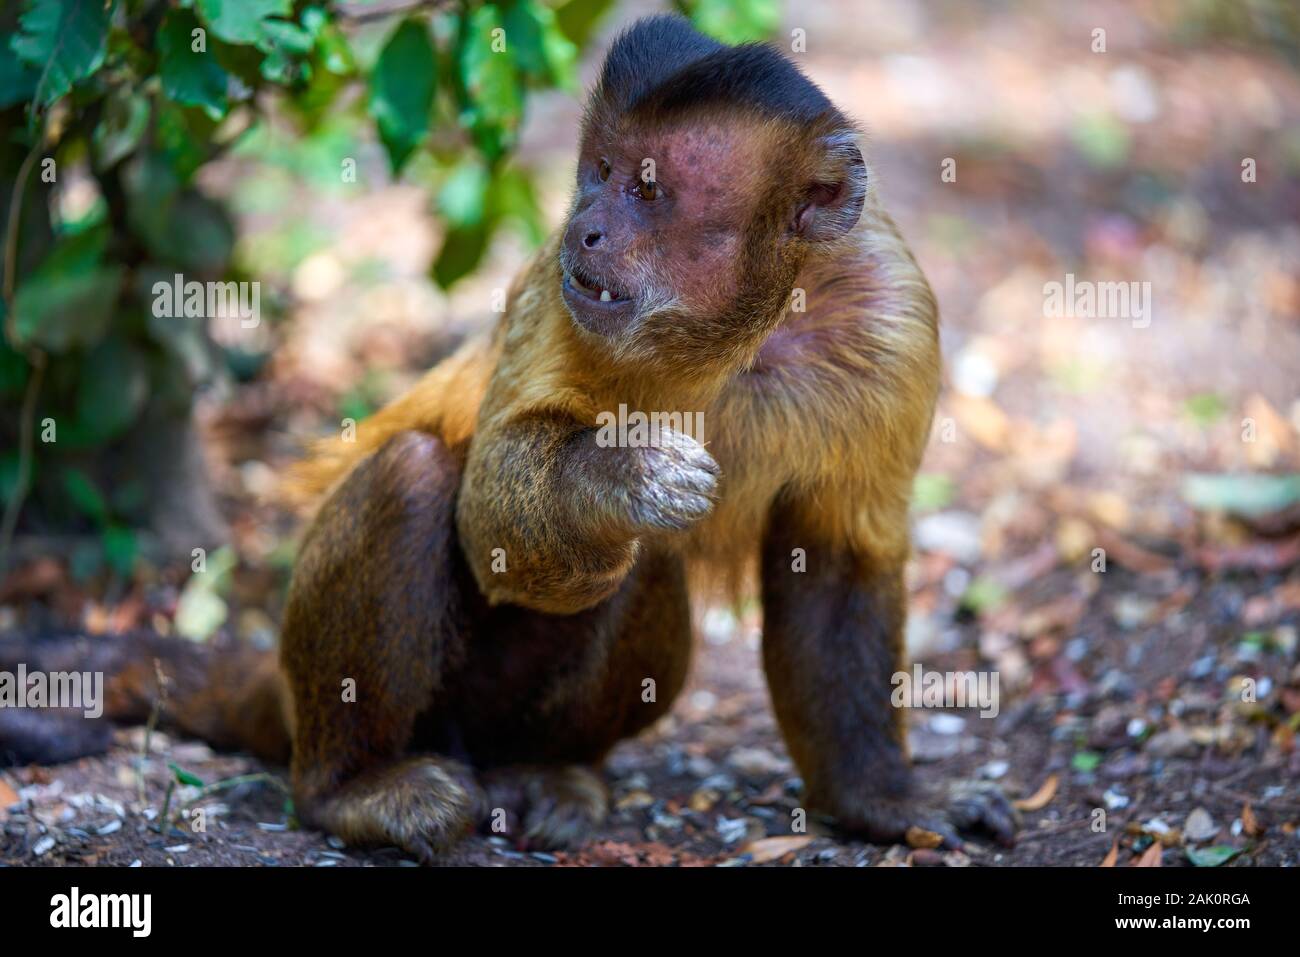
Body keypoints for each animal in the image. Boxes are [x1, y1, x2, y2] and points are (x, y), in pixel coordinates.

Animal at [0, 16, 1017, 860]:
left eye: (650, 189)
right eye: (598, 171)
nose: (589, 226)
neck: (739, 336)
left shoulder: (893, 318)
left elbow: (841, 558)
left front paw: (883, 799)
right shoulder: (559, 294)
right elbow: (493, 511)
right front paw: (622, 476)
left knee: (645, 576)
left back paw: (547, 774)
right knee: (420, 478)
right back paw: (351, 789)